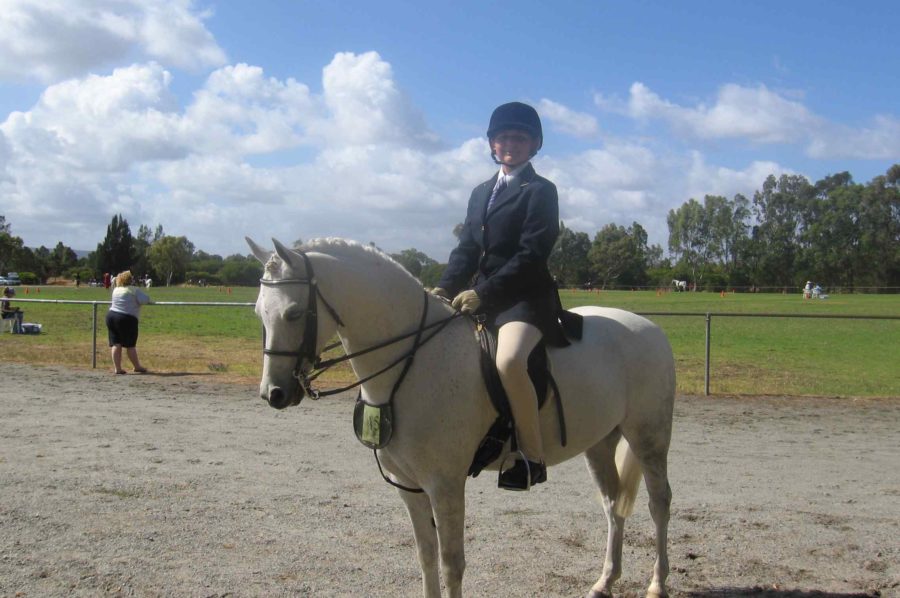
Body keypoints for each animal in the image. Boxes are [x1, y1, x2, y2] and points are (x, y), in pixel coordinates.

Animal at [247, 237, 675, 598]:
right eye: (258, 312)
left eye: (294, 313)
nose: (274, 393)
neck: (413, 360)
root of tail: (650, 327)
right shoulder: (409, 487)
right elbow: (425, 557)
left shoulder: (445, 486)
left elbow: (452, 564)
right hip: (600, 443)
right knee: (612, 504)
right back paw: (605, 581)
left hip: (648, 439)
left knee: (659, 504)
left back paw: (657, 584)